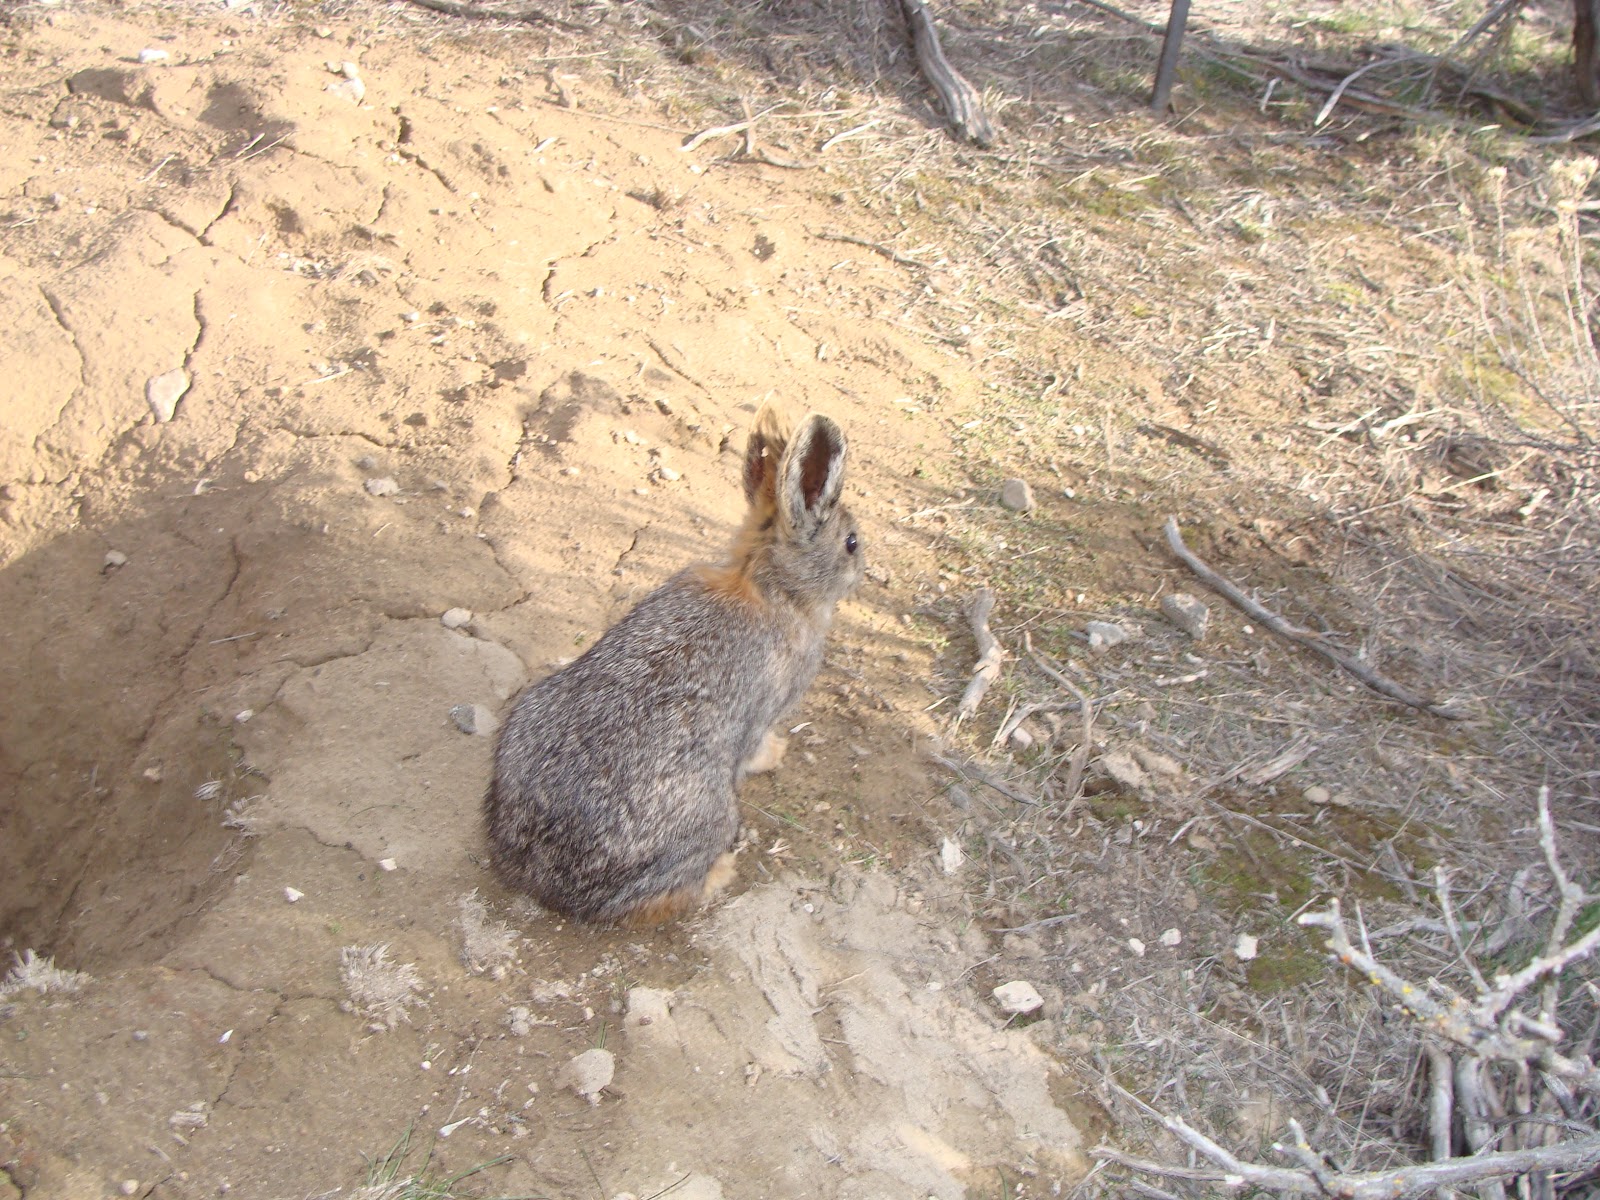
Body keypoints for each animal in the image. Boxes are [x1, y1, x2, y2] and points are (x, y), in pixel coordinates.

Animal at [484, 403, 864, 926]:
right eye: (851, 543)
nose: (863, 568)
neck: (770, 585)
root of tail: (543, 875)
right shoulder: (765, 711)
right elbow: (755, 746)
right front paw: (777, 753)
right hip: (714, 817)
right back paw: (721, 872)